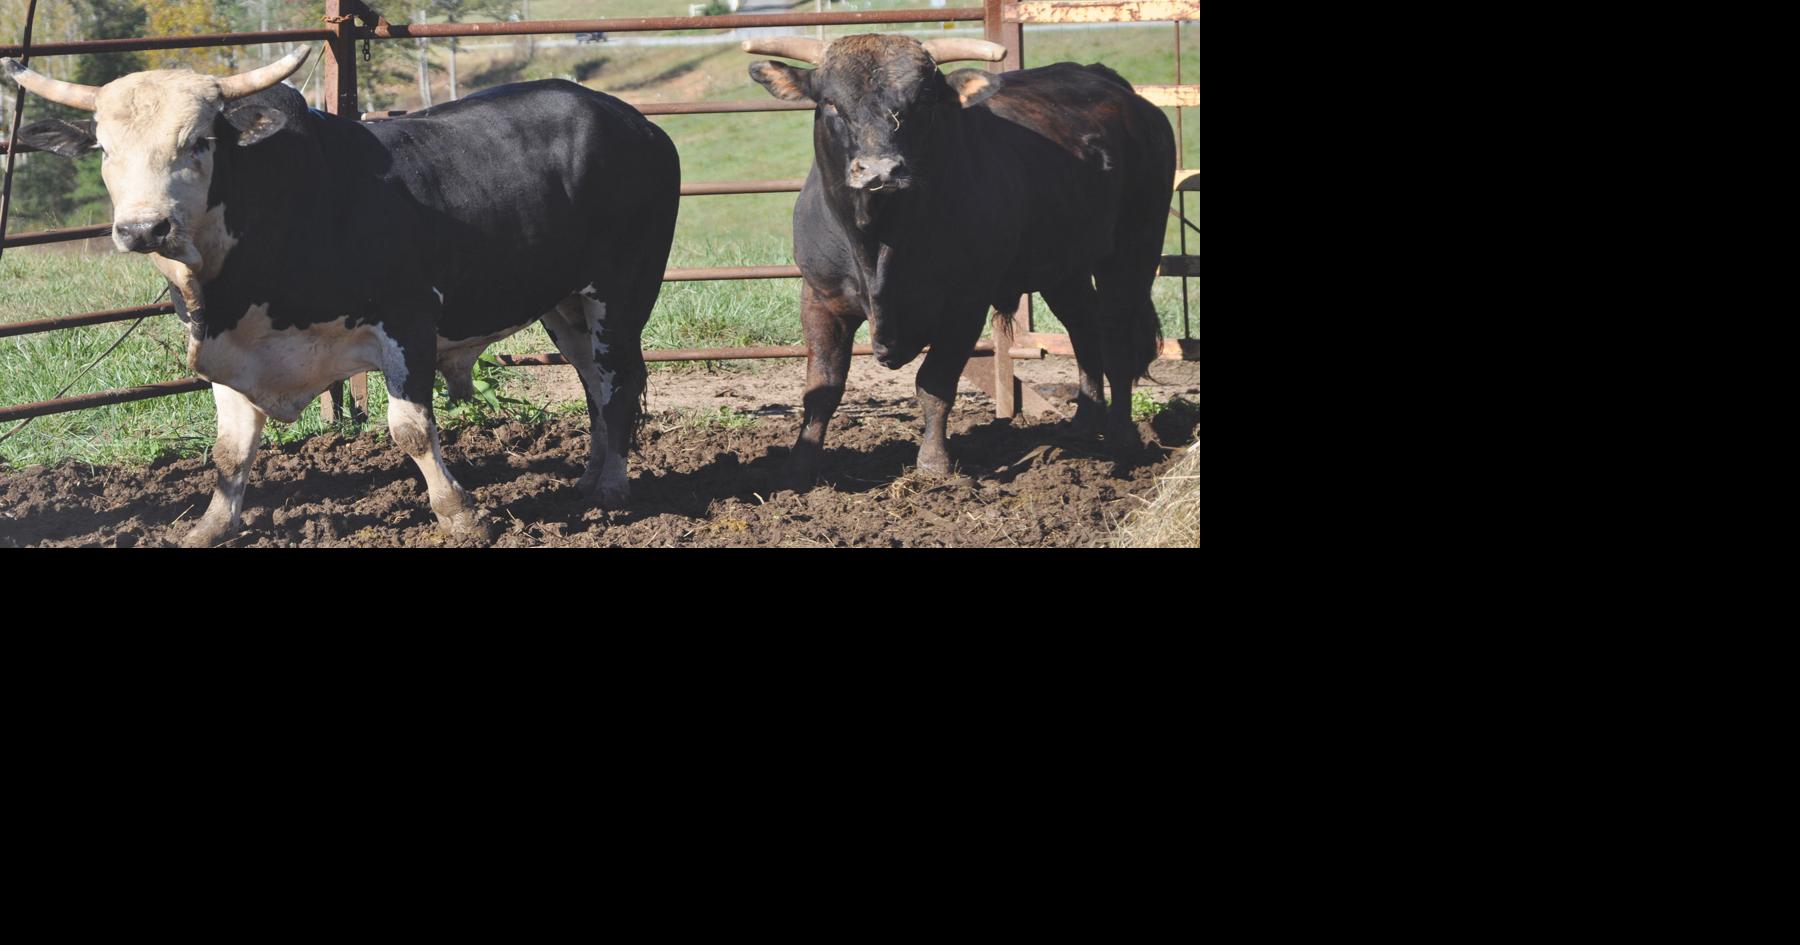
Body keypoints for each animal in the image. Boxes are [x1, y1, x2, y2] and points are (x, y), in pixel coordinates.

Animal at [2, 49, 680, 546]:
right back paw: (590, 476)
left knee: (620, 380)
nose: (145, 228)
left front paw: (462, 515)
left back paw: (612, 487)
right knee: (593, 383)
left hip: (622, 289)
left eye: (198, 142)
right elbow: (229, 450)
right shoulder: (228, 345)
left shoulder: (409, 318)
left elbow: (410, 430)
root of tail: (637, 122)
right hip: (565, 304)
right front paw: (211, 527)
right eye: (105, 149)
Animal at [744, 34, 1174, 489]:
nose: (880, 170)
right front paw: (799, 467)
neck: (878, 241)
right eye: (829, 102)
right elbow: (822, 387)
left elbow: (933, 383)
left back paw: (1122, 435)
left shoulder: (964, 304)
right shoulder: (820, 298)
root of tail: (1112, 85)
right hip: (1063, 267)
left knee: (1114, 334)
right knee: (1083, 328)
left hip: (1134, 248)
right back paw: (1083, 424)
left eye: (922, 100)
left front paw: (934, 463)